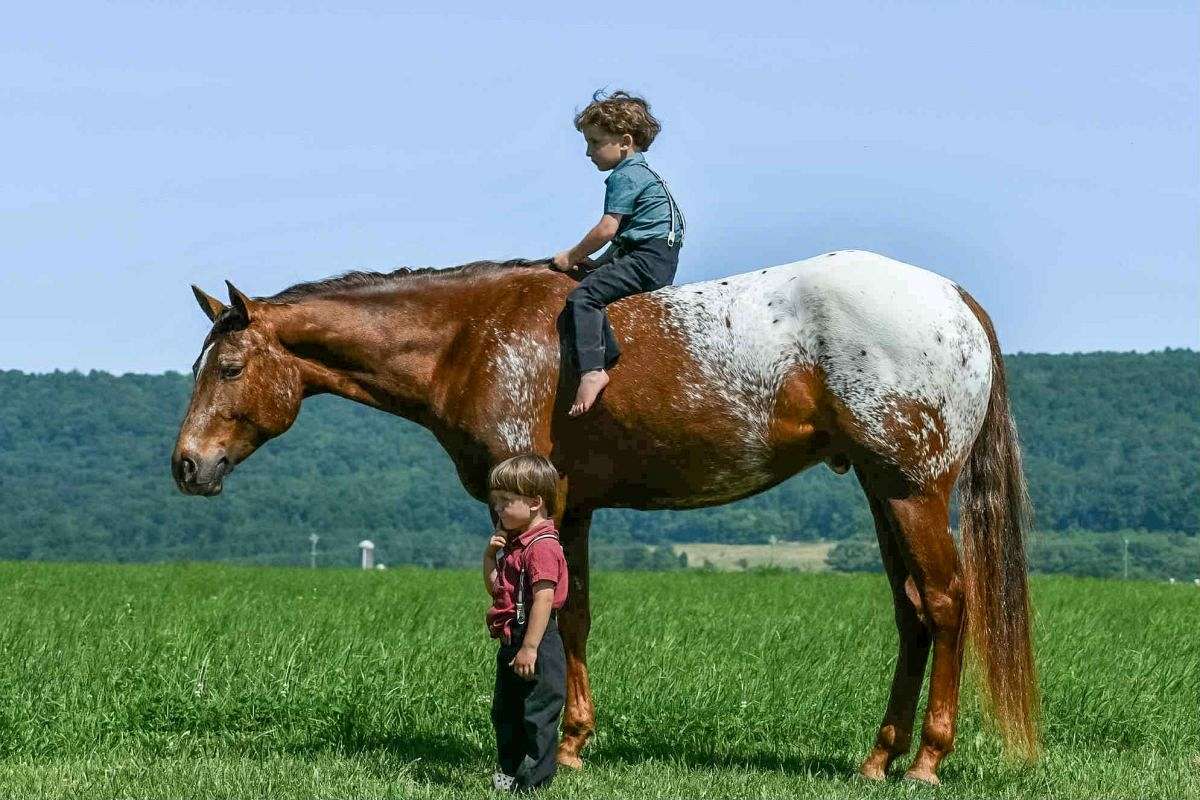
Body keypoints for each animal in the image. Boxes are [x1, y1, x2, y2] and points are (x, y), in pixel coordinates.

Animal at [171, 249, 1038, 784]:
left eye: (231, 367)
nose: (186, 465)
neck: (468, 338)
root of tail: (954, 300)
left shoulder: (536, 502)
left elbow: (541, 612)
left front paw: (543, 744)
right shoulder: (575, 507)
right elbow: (575, 613)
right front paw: (577, 740)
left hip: (913, 494)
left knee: (945, 605)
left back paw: (926, 759)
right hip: (883, 494)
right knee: (912, 616)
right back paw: (879, 757)